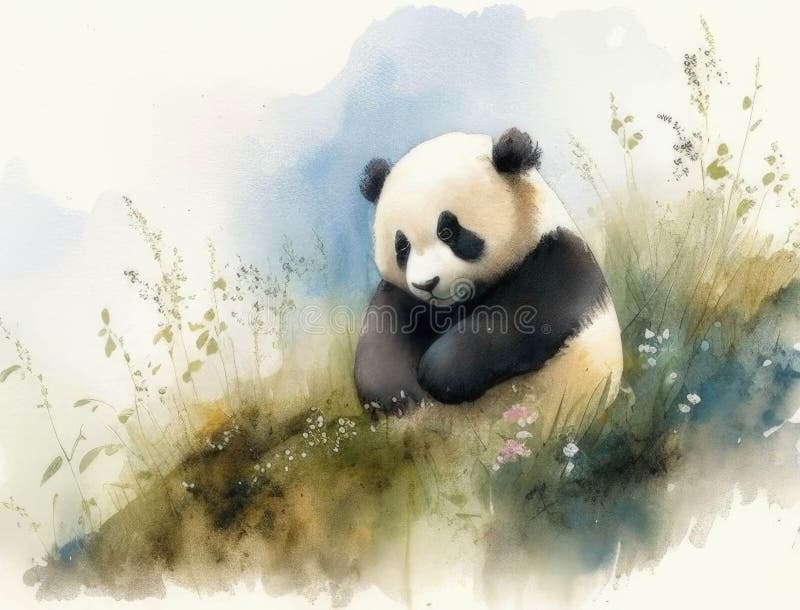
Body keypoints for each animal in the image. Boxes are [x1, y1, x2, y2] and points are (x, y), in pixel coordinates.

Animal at [354, 128, 623, 438]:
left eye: (448, 231)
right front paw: (396, 396)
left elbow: (516, 322)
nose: (427, 283)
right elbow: (383, 331)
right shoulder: (404, 296)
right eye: (402, 246)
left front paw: (439, 371)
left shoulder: (556, 261)